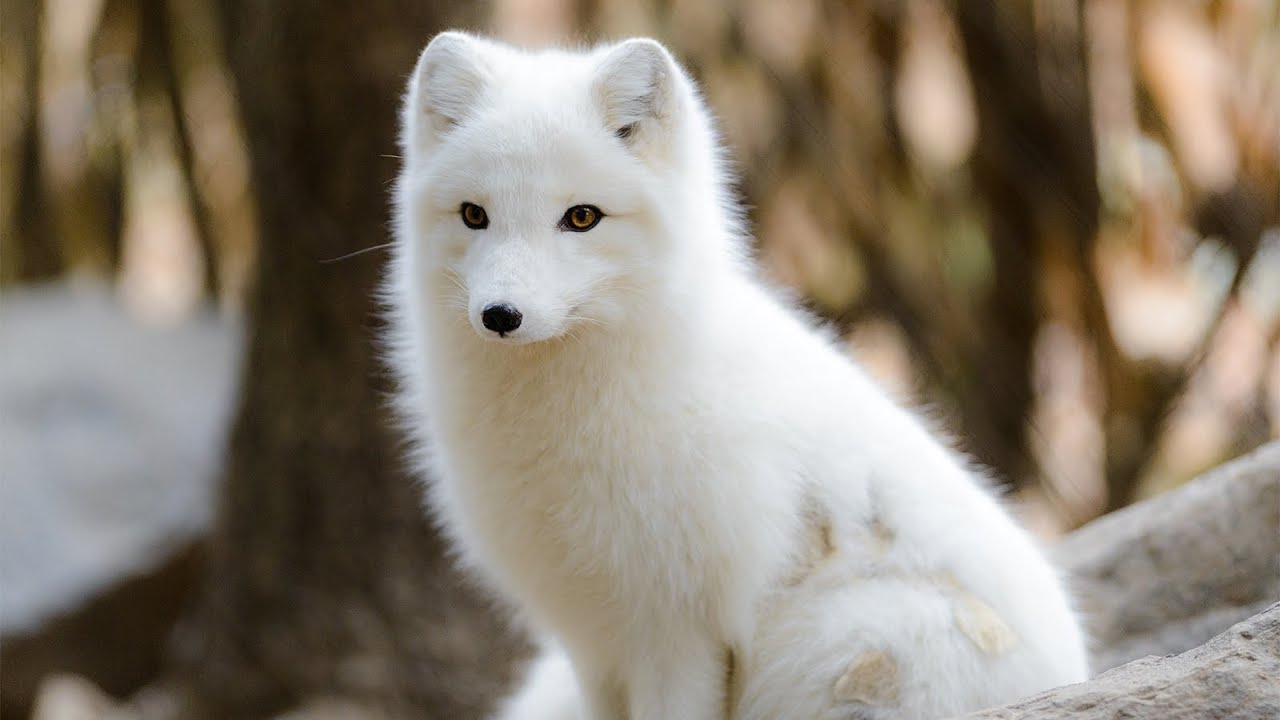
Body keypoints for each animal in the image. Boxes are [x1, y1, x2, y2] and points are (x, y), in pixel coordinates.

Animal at [385, 31, 1090, 720]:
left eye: (581, 217)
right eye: (473, 214)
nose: (500, 316)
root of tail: (1076, 670)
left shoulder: (679, 627)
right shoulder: (591, 636)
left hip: (843, 642)